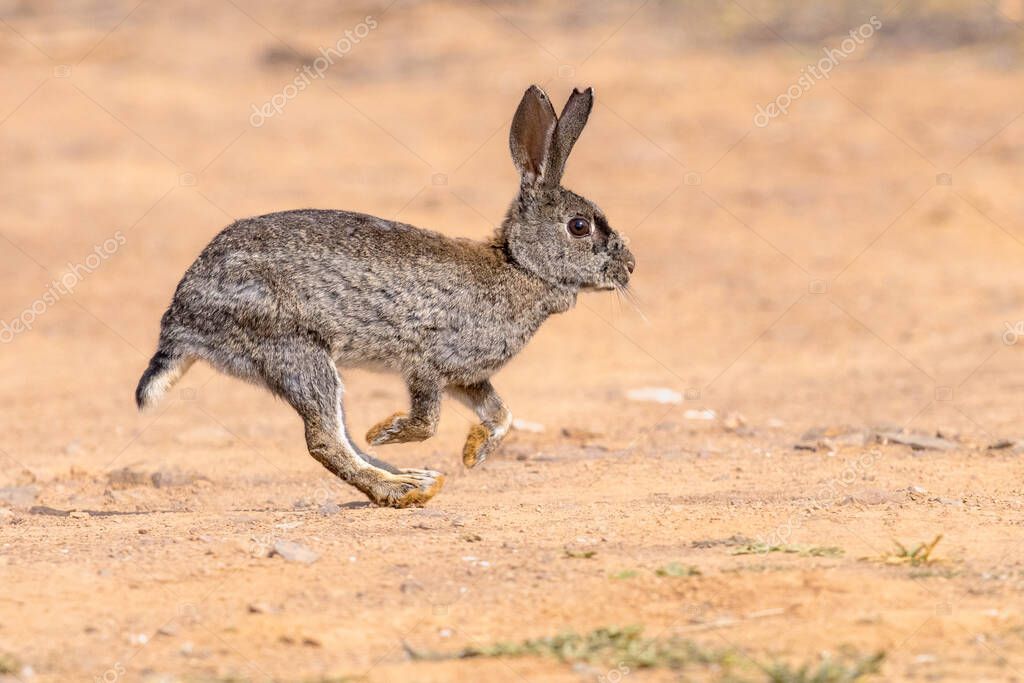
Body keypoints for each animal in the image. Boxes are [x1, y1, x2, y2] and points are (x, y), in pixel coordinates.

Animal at [135, 84, 635, 508]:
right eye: (579, 226)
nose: (630, 266)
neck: (519, 265)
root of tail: (182, 321)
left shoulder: (467, 378)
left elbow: (502, 414)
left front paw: (473, 454)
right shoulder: (429, 363)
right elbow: (428, 421)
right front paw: (388, 431)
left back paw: (416, 479)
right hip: (294, 349)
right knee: (325, 441)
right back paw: (401, 489)